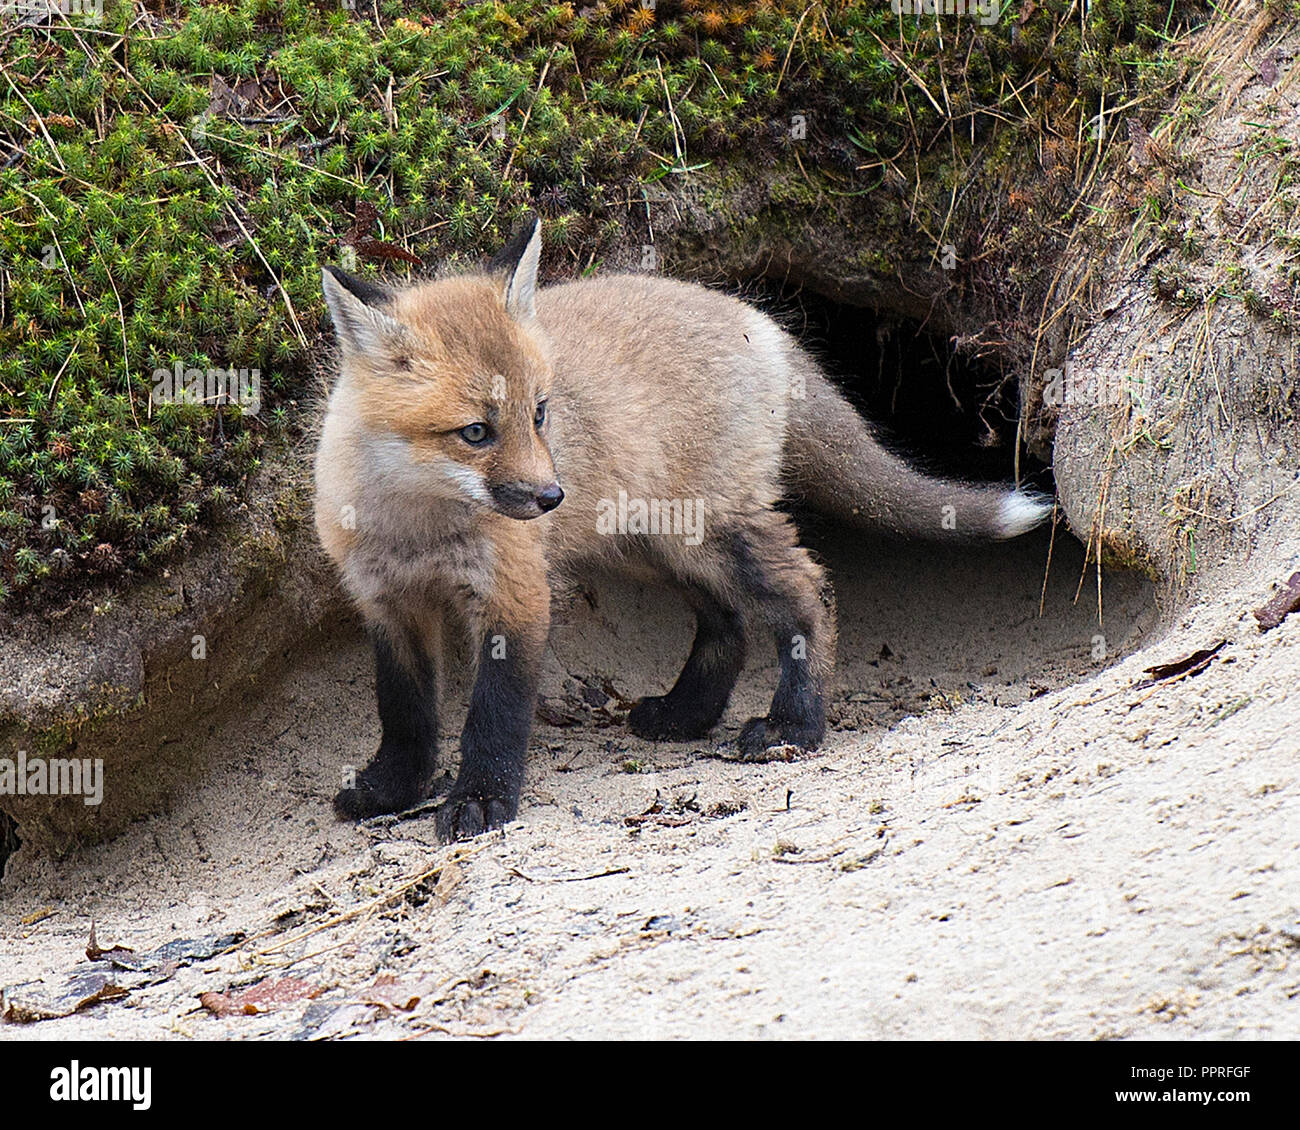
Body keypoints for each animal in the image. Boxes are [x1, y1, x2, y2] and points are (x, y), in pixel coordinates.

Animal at [315, 216, 1051, 840]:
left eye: (540, 413)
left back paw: (793, 725)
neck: (419, 524)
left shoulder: (517, 594)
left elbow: (495, 712)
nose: (552, 496)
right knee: (728, 618)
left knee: (808, 590)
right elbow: (404, 711)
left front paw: (482, 799)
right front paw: (392, 790)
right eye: (476, 432)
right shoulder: (389, 603)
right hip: (654, 545)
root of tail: (757, 319)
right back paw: (686, 714)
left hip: (710, 529)